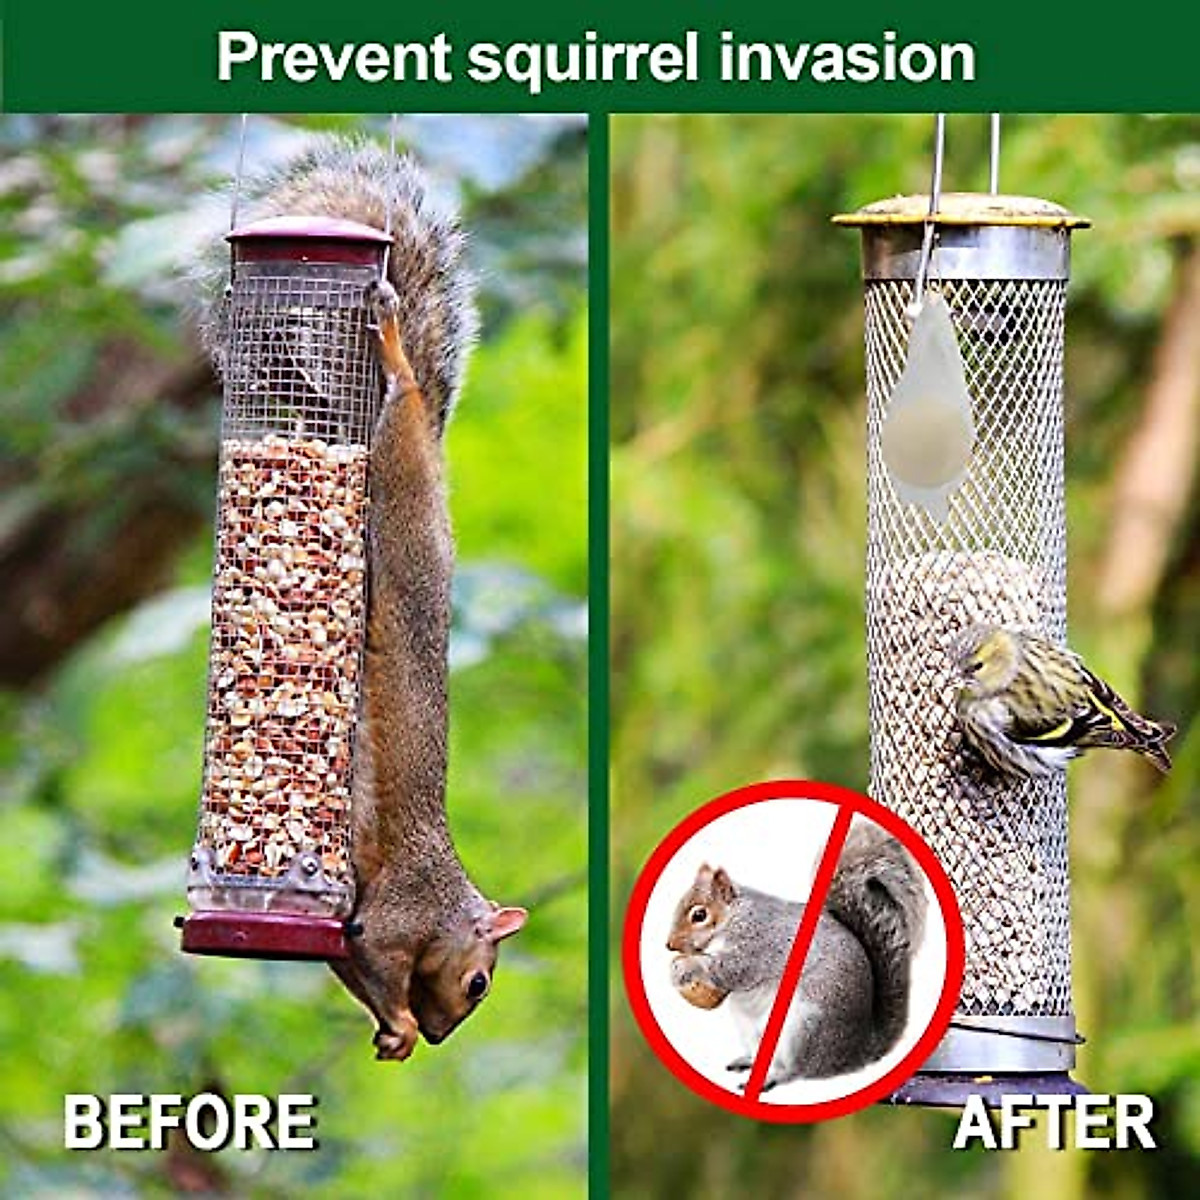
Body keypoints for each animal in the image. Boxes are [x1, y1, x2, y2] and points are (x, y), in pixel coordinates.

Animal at [197, 137, 527, 1062]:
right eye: (481, 982)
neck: (444, 899)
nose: (447, 1034)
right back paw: (389, 346)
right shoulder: (392, 917)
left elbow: (345, 957)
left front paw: (395, 1033)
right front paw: (406, 1026)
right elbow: (376, 955)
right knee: (403, 397)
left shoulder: (350, 919)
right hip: (399, 476)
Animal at [666, 821, 927, 1088]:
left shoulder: (758, 944)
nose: (670, 945)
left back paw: (772, 1077)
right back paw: (748, 1061)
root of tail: (853, 1053)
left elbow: (732, 969)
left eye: (699, 915)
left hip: (803, 1028)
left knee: (797, 1070)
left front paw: (686, 966)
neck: (733, 919)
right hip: (751, 1027)